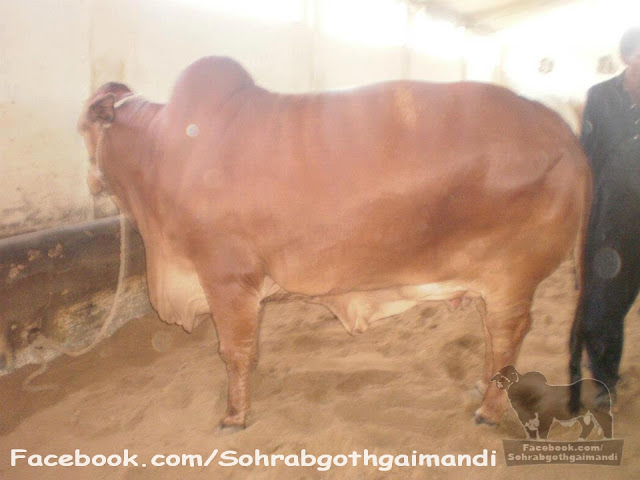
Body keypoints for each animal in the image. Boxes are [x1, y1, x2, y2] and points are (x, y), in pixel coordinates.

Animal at [78, 56, 592, 430]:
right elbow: (251, 346)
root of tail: (565, 135)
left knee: (506, 337)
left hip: (512, 278)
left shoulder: (226, 277)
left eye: (86, 125)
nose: (90, 180)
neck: (163, 150)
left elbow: (234, 351)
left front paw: (235, 416)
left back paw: (488, 409)